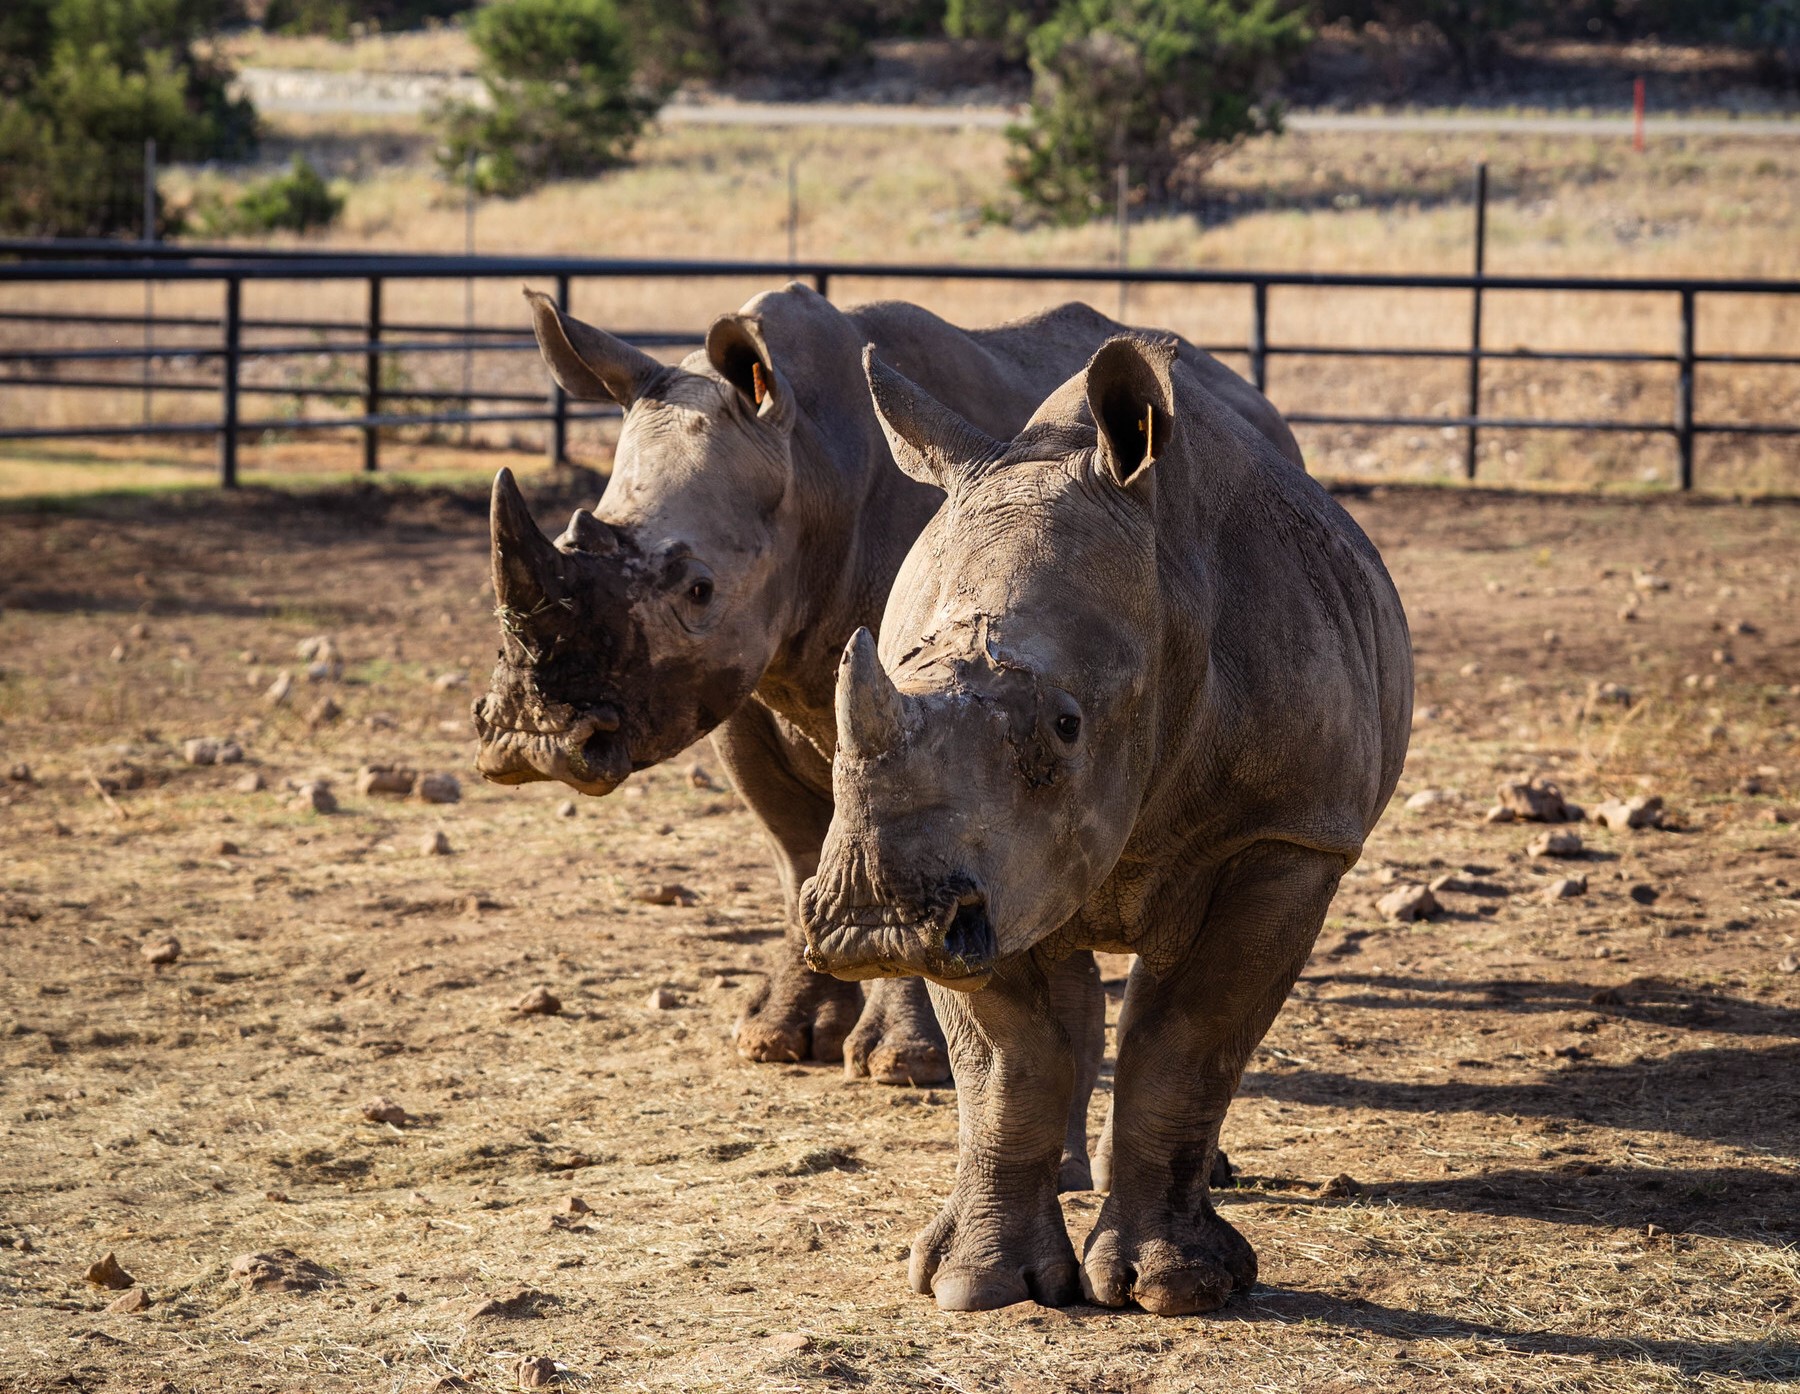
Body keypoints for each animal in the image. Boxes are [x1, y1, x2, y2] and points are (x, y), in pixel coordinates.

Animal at [473, 282, 1303, 1123]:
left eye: (698, 590)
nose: (531, 740)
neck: (813, 468)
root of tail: (1252, 403)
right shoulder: (745, 696)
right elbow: (795, 853)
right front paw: (776, 1038)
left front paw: (902, 1063)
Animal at [798, 338, 1412, 1314]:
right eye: (887, 676)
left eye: (1066, 724)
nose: (870, 923)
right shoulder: (979, 877)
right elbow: (1008, 1060)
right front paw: (979, 1284)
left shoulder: (1288, 835)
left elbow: (1189, 1042)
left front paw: (1177, 1289)